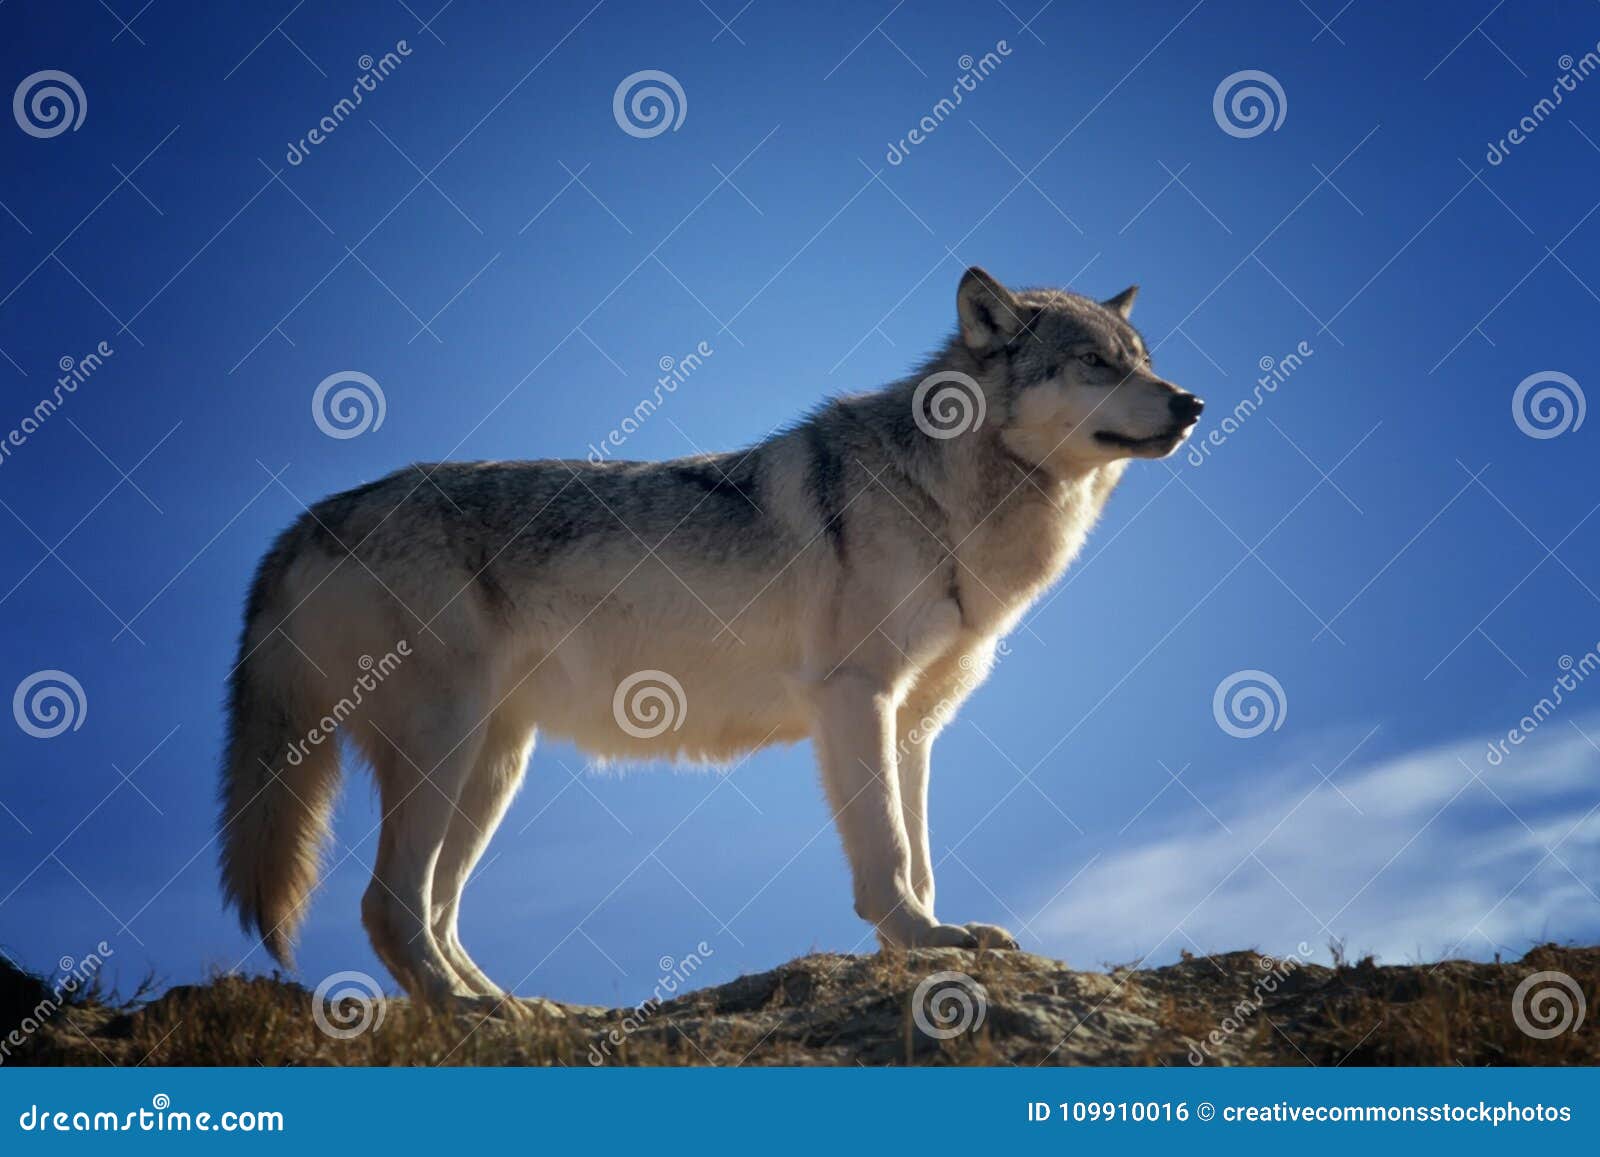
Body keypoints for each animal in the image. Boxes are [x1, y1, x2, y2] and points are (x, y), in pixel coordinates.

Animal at [219, 267, 1204, 1012]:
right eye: (1093, 364)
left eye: (1142, 361)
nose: (1193, 403)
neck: (952, 500)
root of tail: (309, 519)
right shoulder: (856, 698)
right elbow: (887, 853)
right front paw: (920, 940)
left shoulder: (915, 723)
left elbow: (920, 854)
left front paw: (930, 939)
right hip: (444, 747)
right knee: (389, 905)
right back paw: (466, 1012)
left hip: (493, 767)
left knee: (436, 908)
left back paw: (516, 1009)